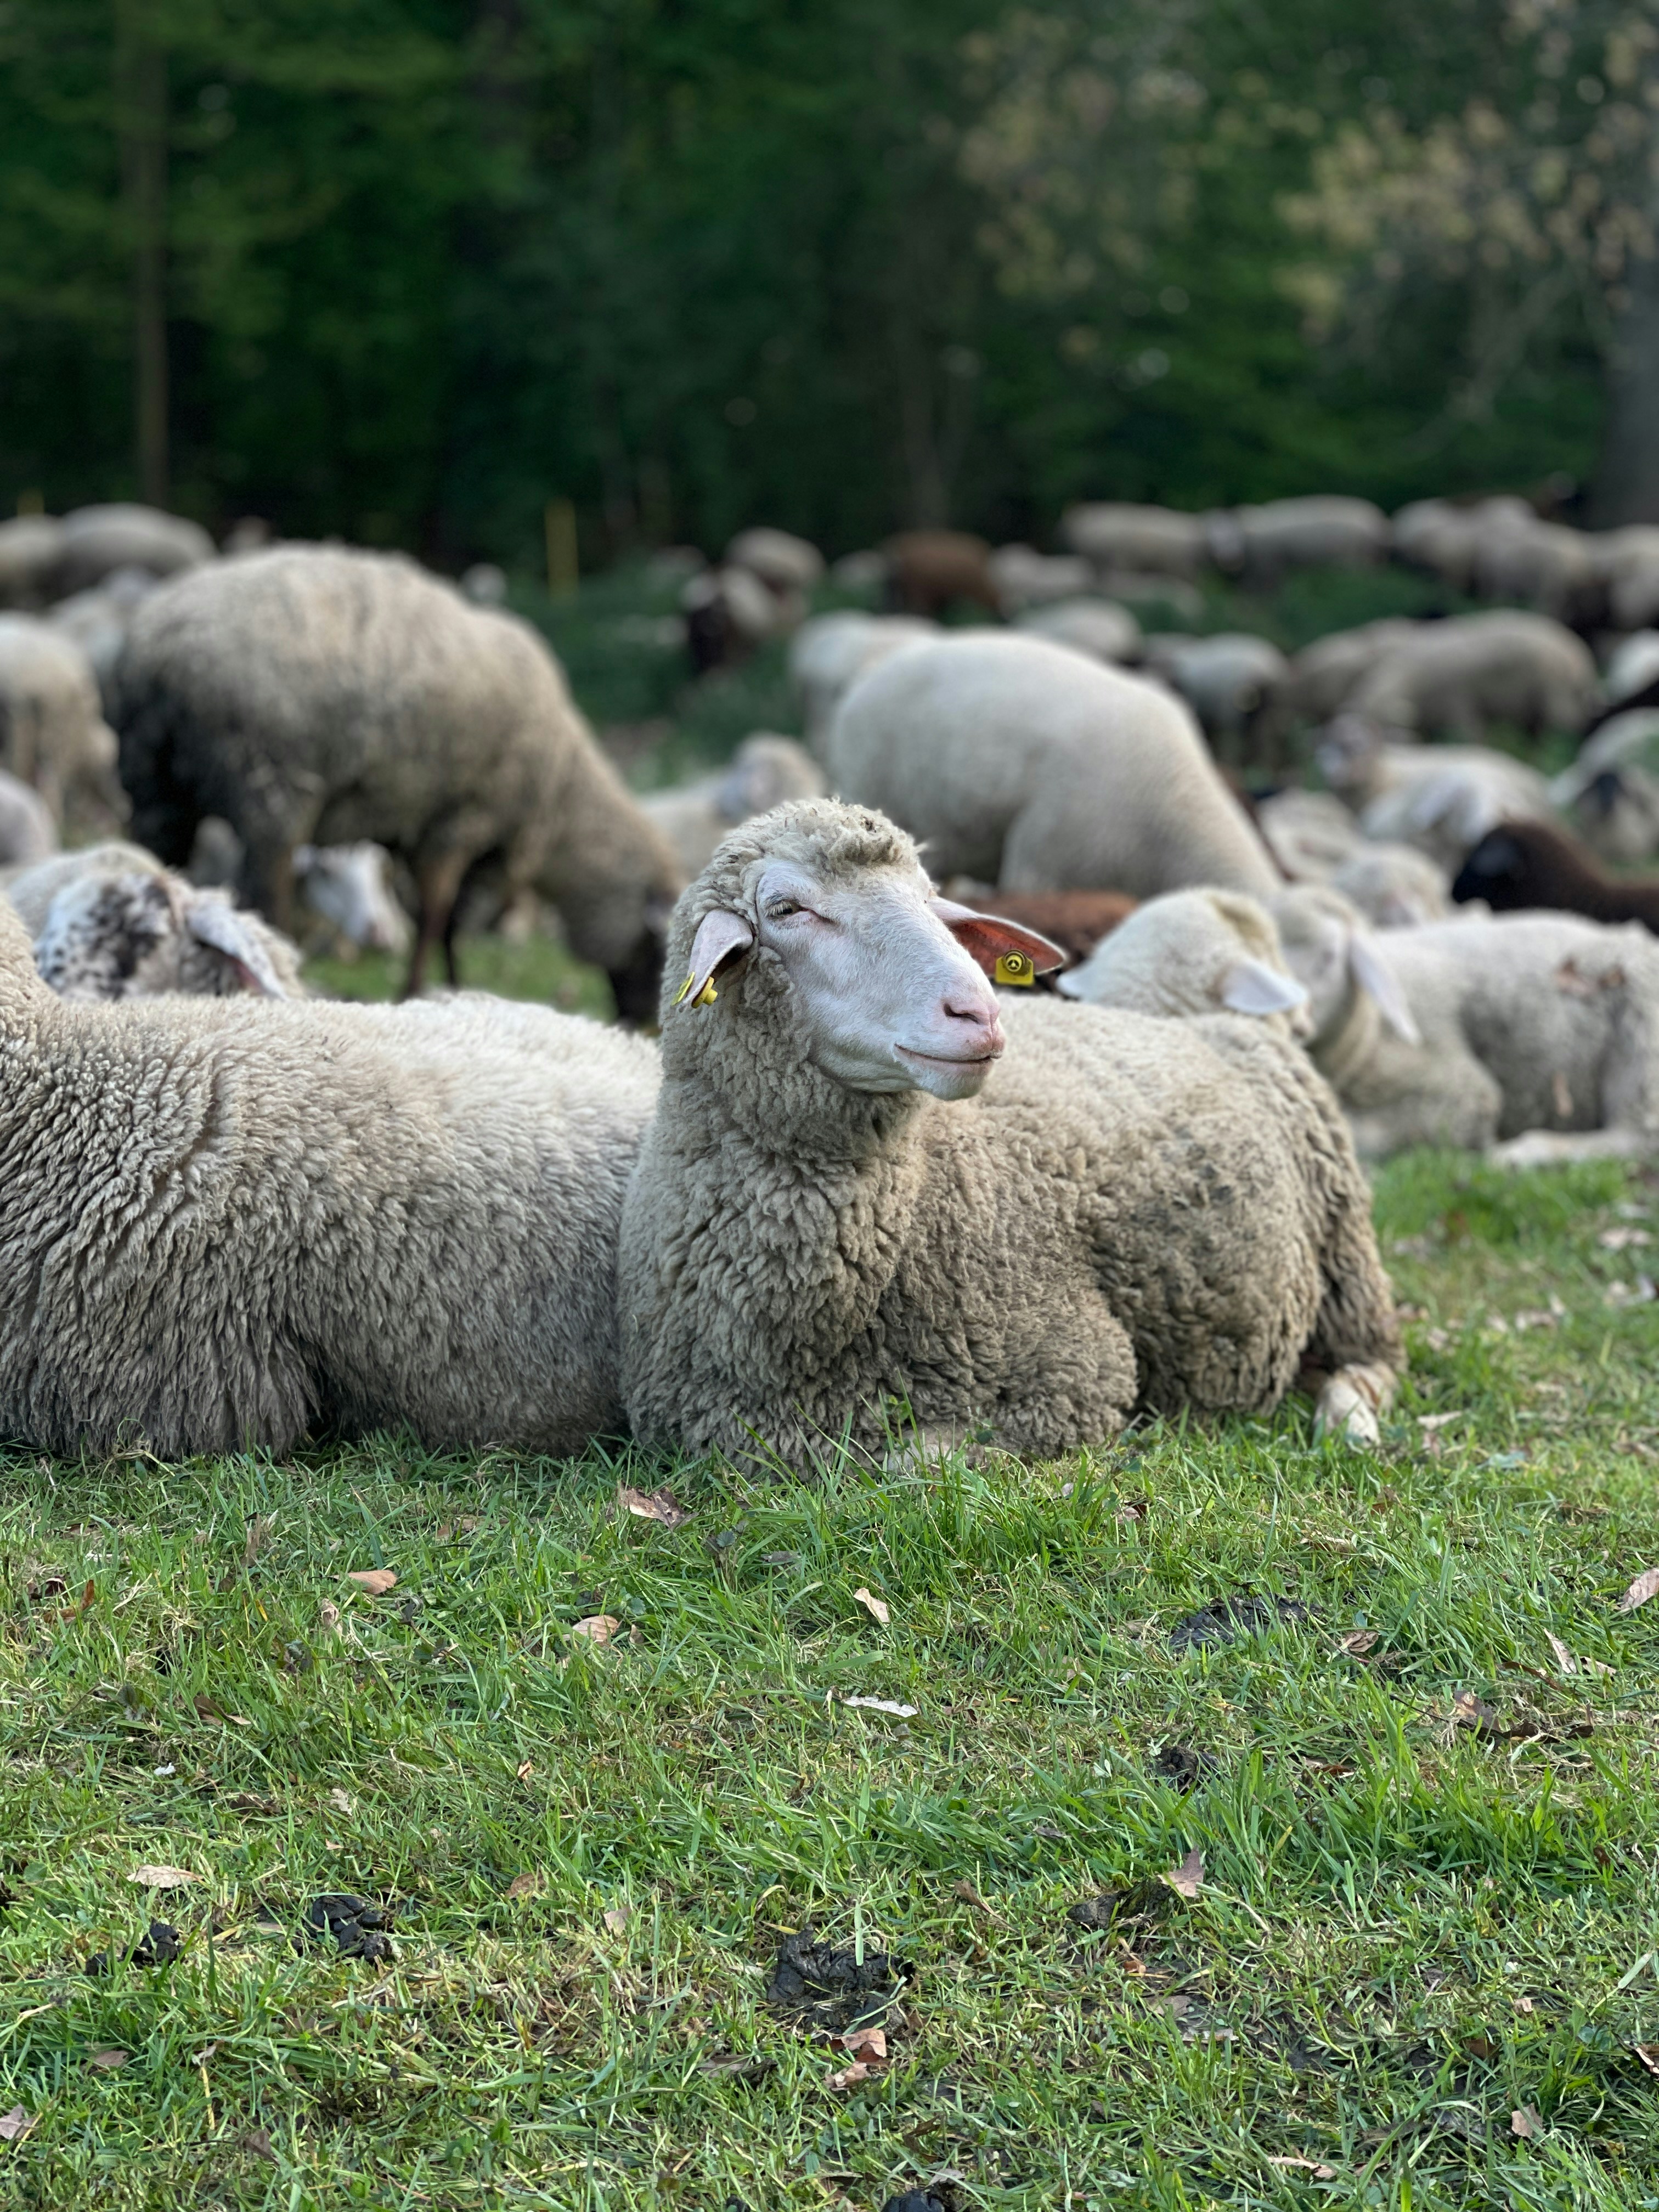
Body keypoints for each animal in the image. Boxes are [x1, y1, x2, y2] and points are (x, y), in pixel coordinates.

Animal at [112, 545, 682, 1014]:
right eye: (658, 949)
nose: (642, 1021)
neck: (560, 790)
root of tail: (160, 654)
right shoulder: (458, 821)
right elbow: (436, 916)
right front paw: (422, 989)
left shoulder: (416, 818)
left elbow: (443, 922)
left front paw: (452, 984)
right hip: (270, 785)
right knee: (269, 893)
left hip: (154, 783)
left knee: (154, 860)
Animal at [618, 798, 1402, 1468]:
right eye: (787, 909)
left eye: (932, 902)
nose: (980, 1013)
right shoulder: (712, 1425)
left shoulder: (1076, 1370)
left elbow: (914, 1463)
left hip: (1346, 1259)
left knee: (1373, 1365)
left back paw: (1349, 1425)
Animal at [1271, 882, 1659, 1164]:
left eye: (1330, 956)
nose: (1292, 1022)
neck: (1368, 1029)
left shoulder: (1462, 1090)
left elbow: (1368, 1133)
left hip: (1641, 1037)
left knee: (1637, 1135)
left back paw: (1523, 1154)